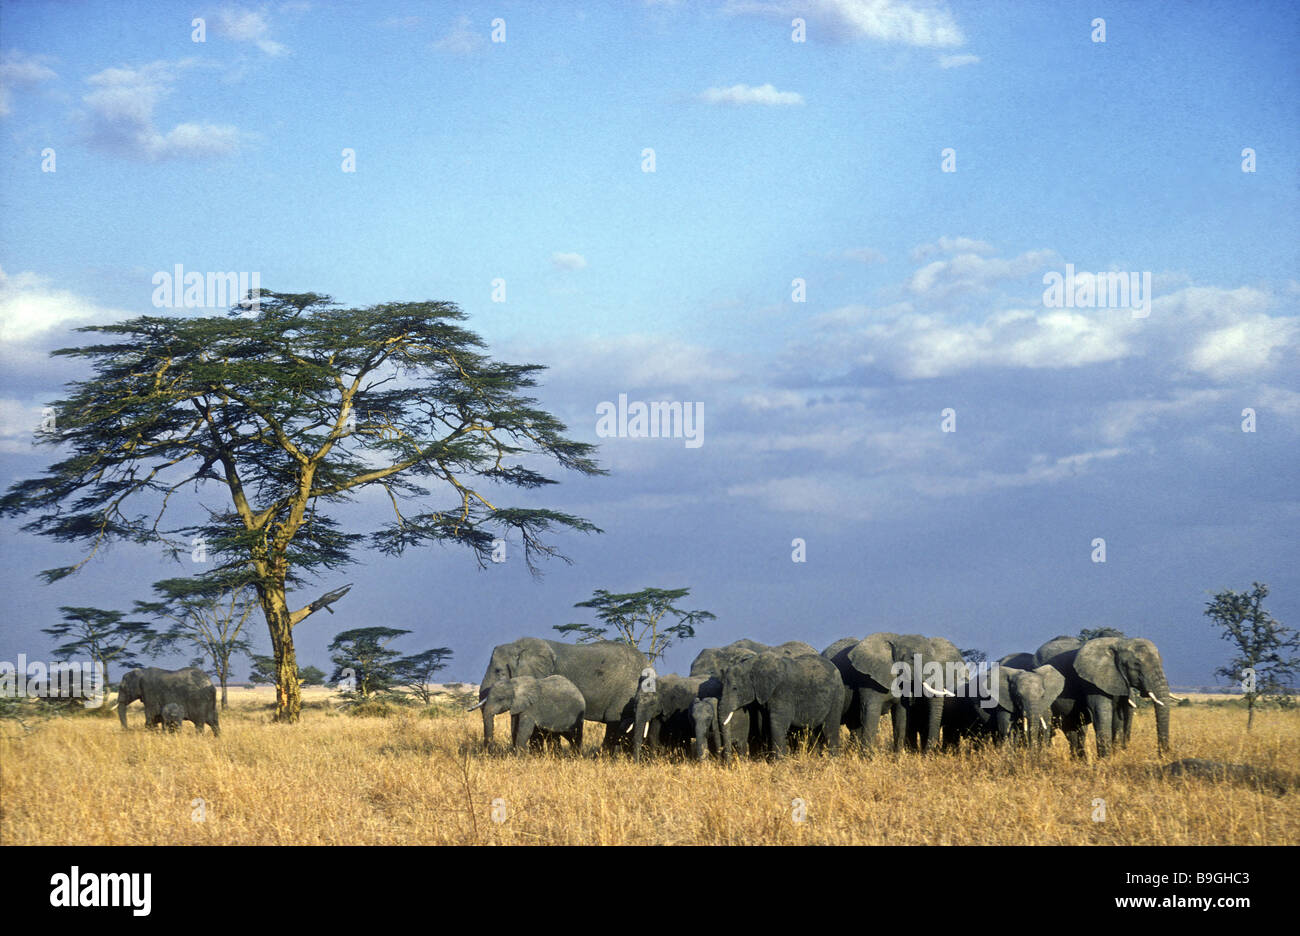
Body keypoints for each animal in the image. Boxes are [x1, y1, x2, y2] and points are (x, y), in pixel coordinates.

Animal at [824, 634, 962, 753]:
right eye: (912, 658)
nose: (927, 753)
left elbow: (901, 716)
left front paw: (898, 757)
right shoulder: (868, 679)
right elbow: (870, 713)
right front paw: (868, 758)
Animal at [1035, 635, 1175, 758]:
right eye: (1136, 664)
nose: (1163, 755)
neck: (1119, 643)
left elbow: (1118, 718)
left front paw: (1115, 757)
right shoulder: (1092, 680)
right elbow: (1101, 712)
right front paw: (1105, 760)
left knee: (1075, 730)